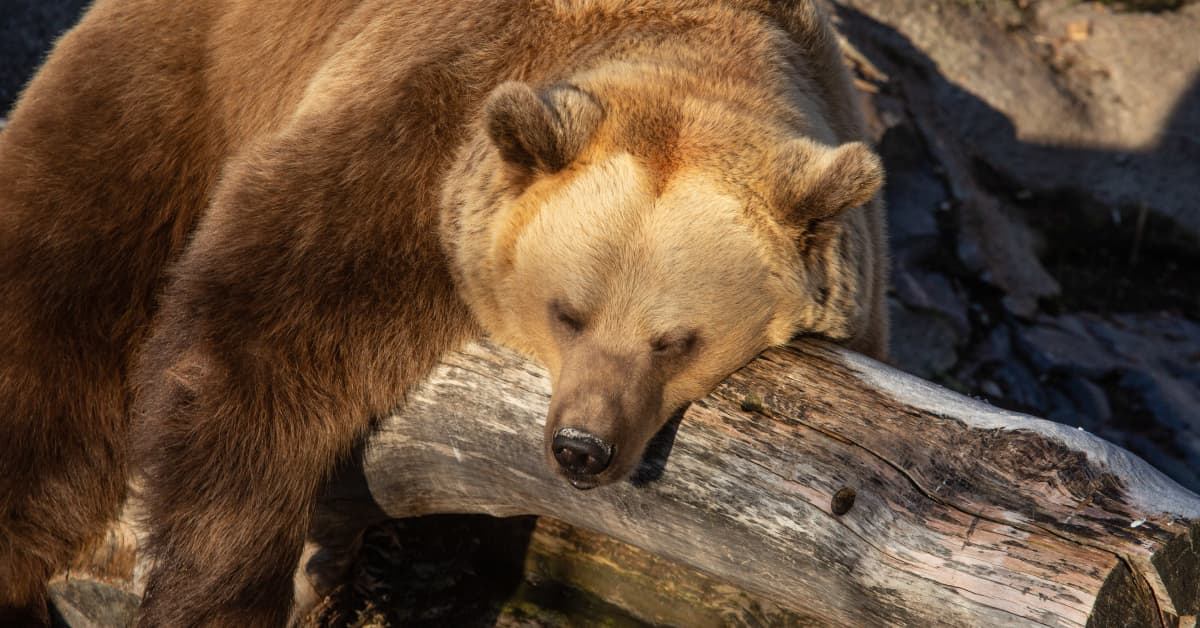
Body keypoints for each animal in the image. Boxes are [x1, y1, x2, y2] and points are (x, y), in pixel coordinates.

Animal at [0, 0, 887, 625]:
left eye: (675, 340)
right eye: (568, 312)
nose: (581, 449)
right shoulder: (429, 129)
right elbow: (260, 338)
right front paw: (224, 594)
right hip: (189, 80)